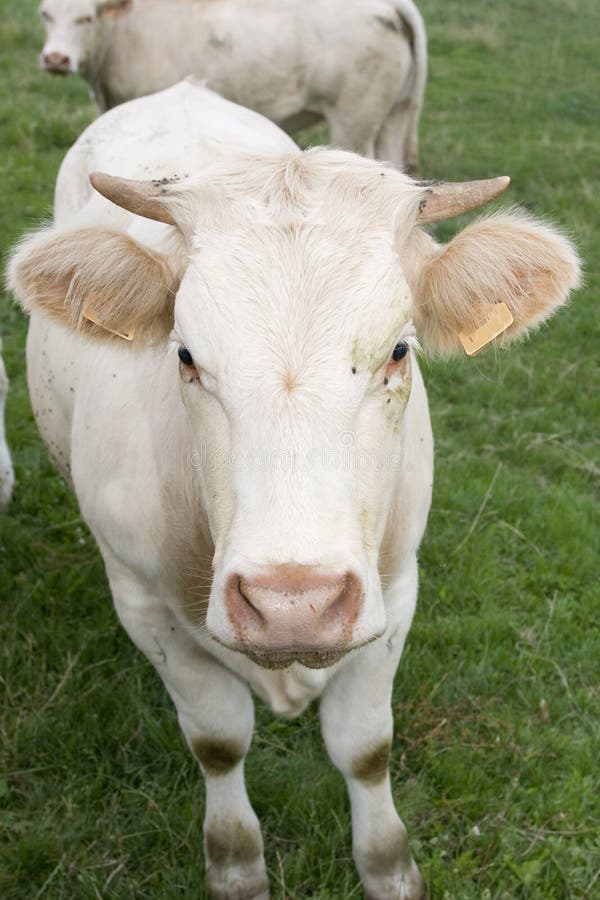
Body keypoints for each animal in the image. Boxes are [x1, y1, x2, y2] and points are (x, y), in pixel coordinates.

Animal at [8, 81, 580, 899]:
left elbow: (365, 747)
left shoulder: (396, 585)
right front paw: (236, 866)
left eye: (399, 350)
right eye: (185, 356)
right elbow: (218, 742)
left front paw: (389, 868)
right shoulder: (141, 601)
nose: (293, 603)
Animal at [39, 0, 427, 174]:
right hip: (395, 114)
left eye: (85, 18)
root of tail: (390, 5)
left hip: (354, 120)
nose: (56, 58)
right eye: (45, 14)